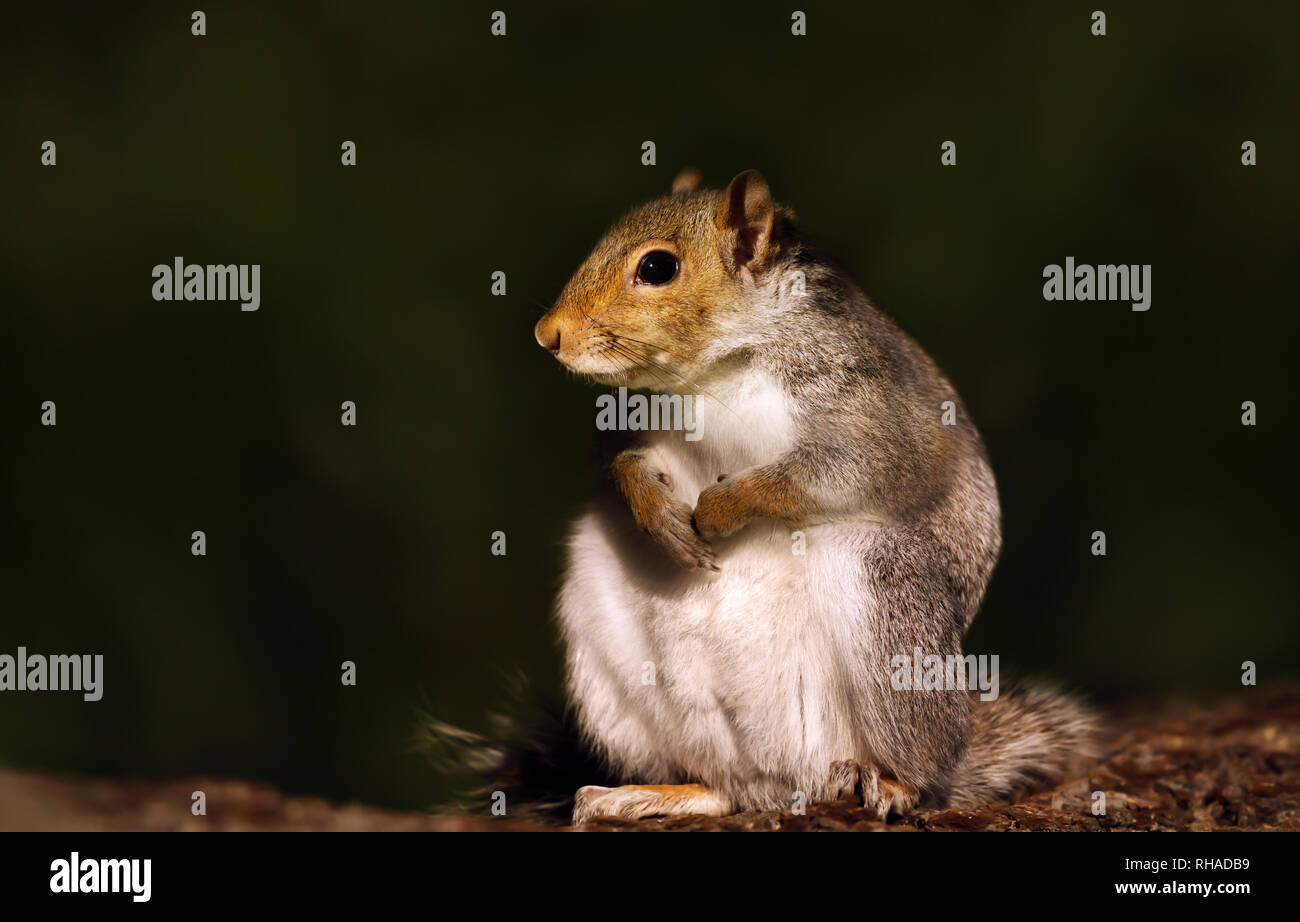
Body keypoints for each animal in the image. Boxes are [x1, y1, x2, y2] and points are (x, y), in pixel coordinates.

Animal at [527, 167, 1097, 825]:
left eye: (657, 268)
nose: (547, 335)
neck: (710, 376)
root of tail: (790, 778)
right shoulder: (630, 420)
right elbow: (618, 462)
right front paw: (656, 511)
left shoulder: (871, 414)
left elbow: (835, 472)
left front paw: (718, 509)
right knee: (725, 789)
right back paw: (647, 794)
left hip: (884, 595)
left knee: (926, 770)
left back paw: (892, 783)